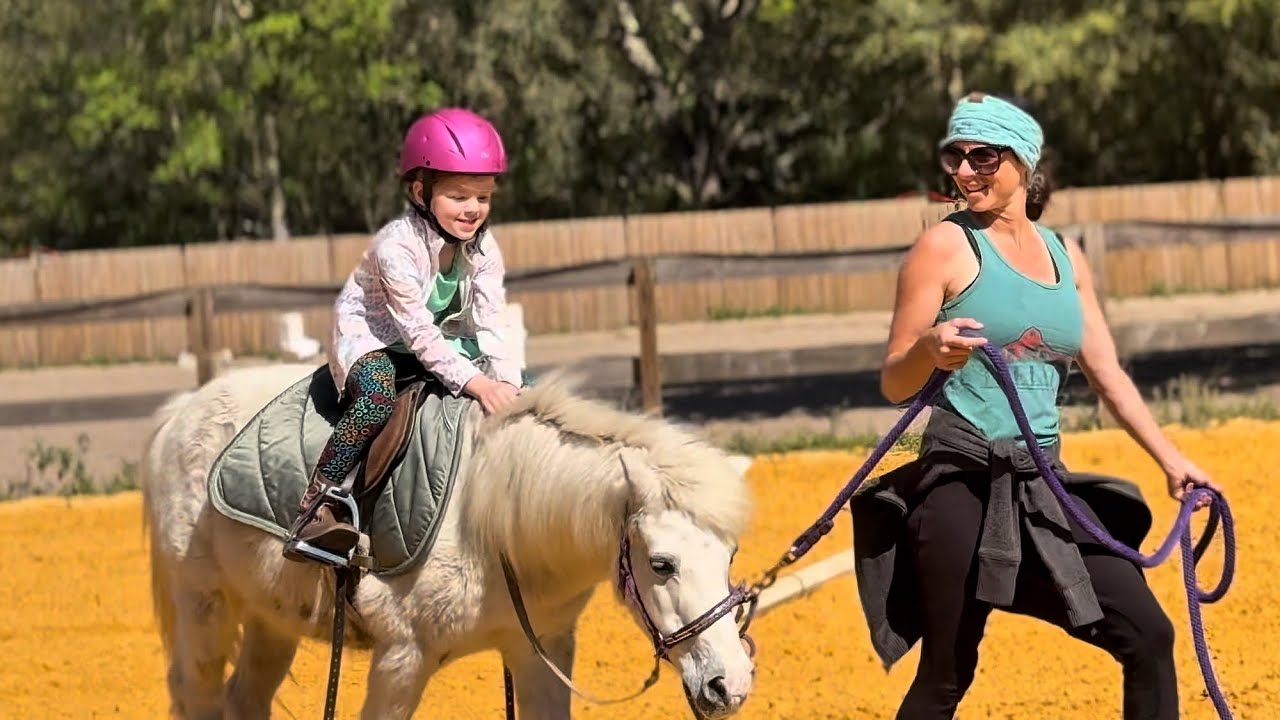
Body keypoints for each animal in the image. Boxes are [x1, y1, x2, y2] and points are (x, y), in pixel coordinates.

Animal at [140, 362, 756, 720]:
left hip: (271, 620)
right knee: (196, 695)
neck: (493, 518)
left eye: (729, 555)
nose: (729, 683)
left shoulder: (541, 652)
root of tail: (181, 410)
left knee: (244, 700)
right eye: (662, 563)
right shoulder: (401, 662)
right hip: (203, 609)